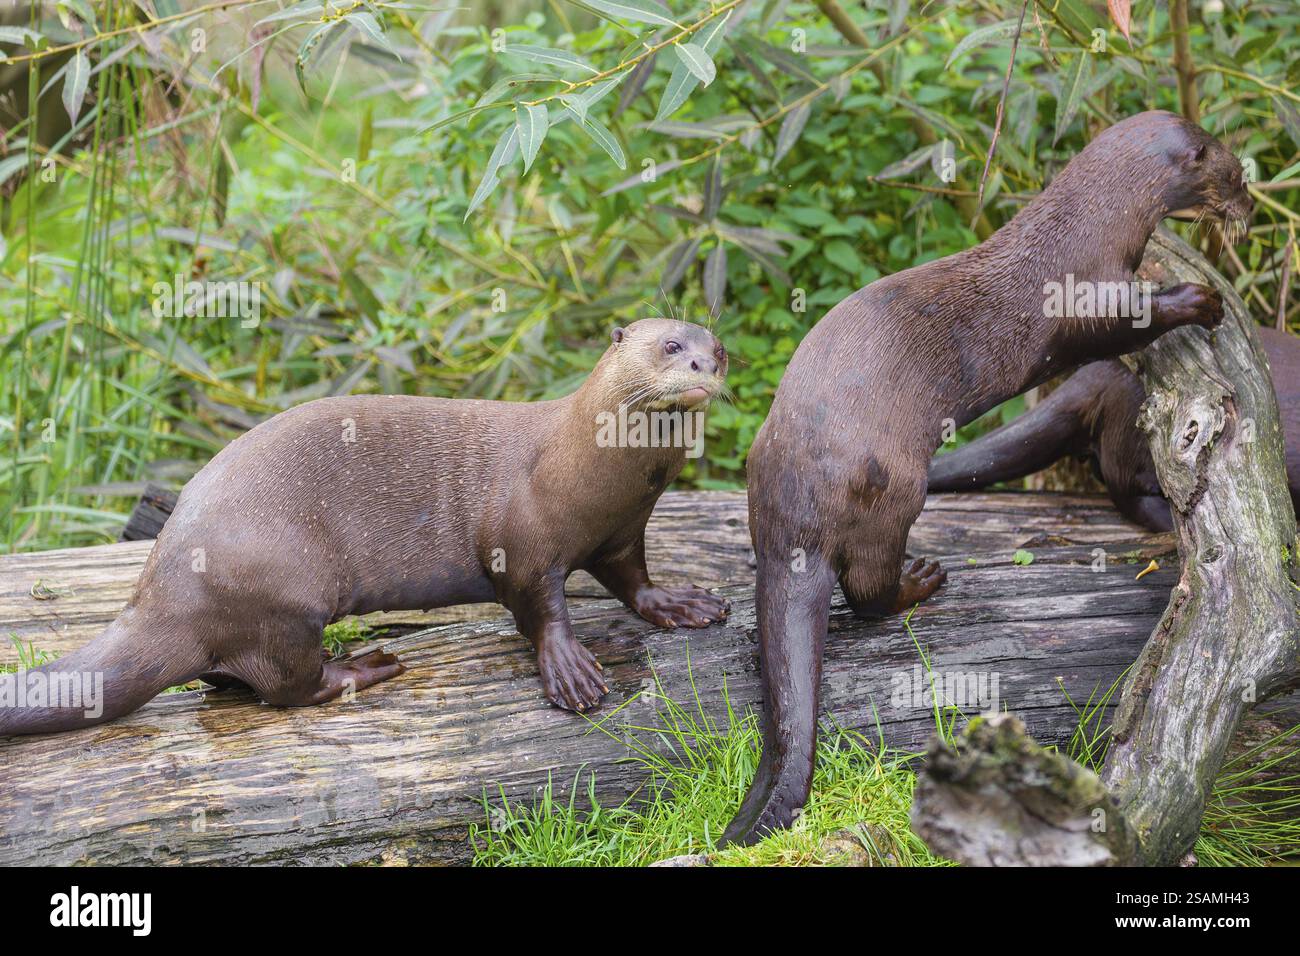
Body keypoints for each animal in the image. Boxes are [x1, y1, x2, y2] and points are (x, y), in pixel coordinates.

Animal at [0, 319, 730, 735]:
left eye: (718, 350)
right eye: (670, 346)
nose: (704, 367)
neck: (591, 465)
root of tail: (163, 587)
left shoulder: (622, 531)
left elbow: (633, 580)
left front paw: (682, 603)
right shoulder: (522, 544)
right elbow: (539, 606)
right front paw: (570, 671)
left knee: (230, 679)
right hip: (286, 593)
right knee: (286, 688)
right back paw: (365, 666)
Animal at [722, 111, 1254, 845]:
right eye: (1234, 175)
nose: (1250, 209)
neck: (1088, 228)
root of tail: (796, 513)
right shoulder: (1087, 297)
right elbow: (1125, 322)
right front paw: (1199, 300)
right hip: (895, 489)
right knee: (867, 592)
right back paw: (921, 581)